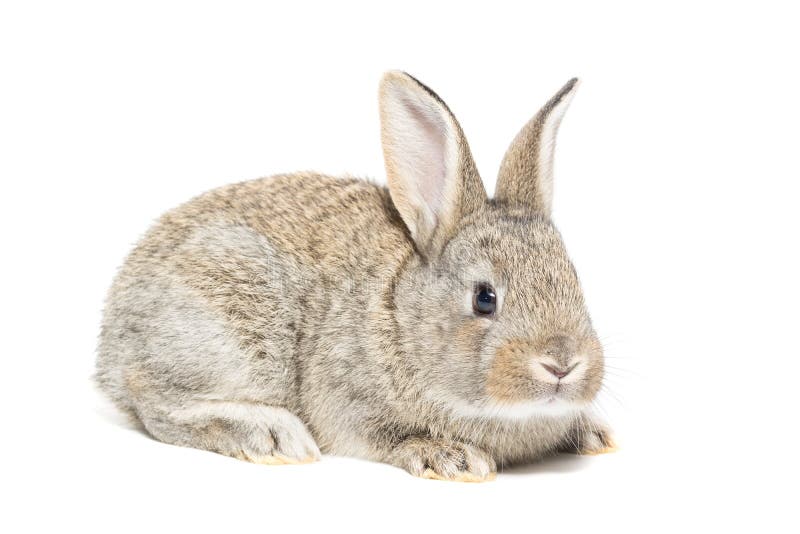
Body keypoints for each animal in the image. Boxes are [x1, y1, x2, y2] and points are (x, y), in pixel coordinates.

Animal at [95, 71, 615, 482]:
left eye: (575, 281)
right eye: (484, 298)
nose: (562, 364)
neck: (403, 319)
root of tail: (111, 347)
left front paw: (594, 433)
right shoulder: (352, 404)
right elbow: (387, 436)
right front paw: (452, 458)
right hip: (228, 327)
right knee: (156, 402)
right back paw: (273, 435)